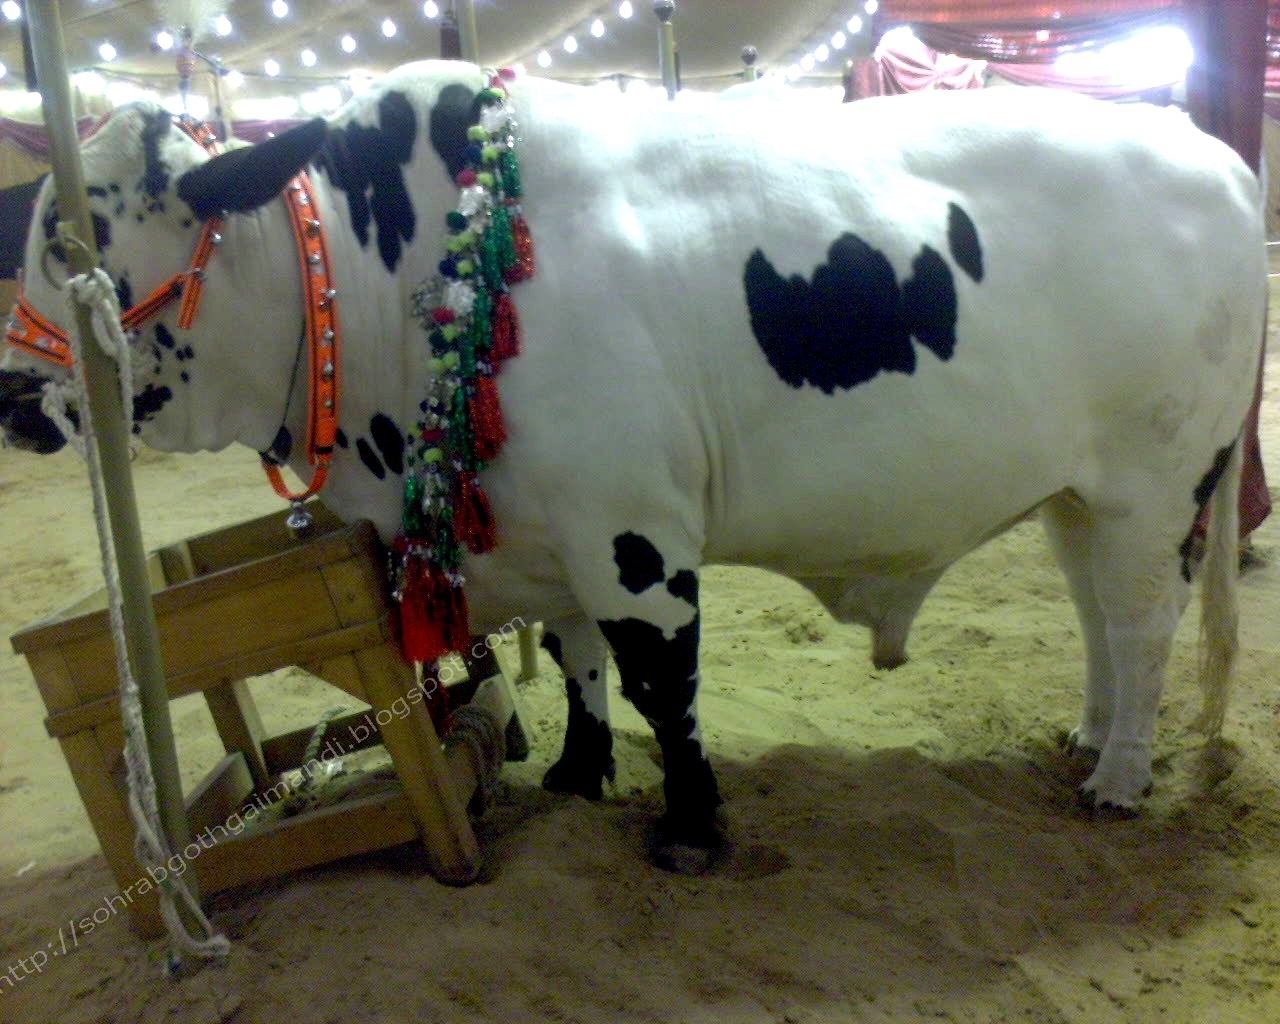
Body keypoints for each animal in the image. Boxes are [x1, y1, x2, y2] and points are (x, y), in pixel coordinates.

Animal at [1, 61, 1264, 873]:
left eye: (73, 241)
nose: (13, 399)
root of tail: (1209, 150)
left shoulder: (629, 533)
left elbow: (662, 677)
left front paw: (691, 825)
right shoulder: (541, 527)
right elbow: (574, 658)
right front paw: (575, 771)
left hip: (1161, 483)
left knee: (1140, 623)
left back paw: (1118, 778)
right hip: (1075, 493)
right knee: (1096, 615)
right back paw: (1087, 738)